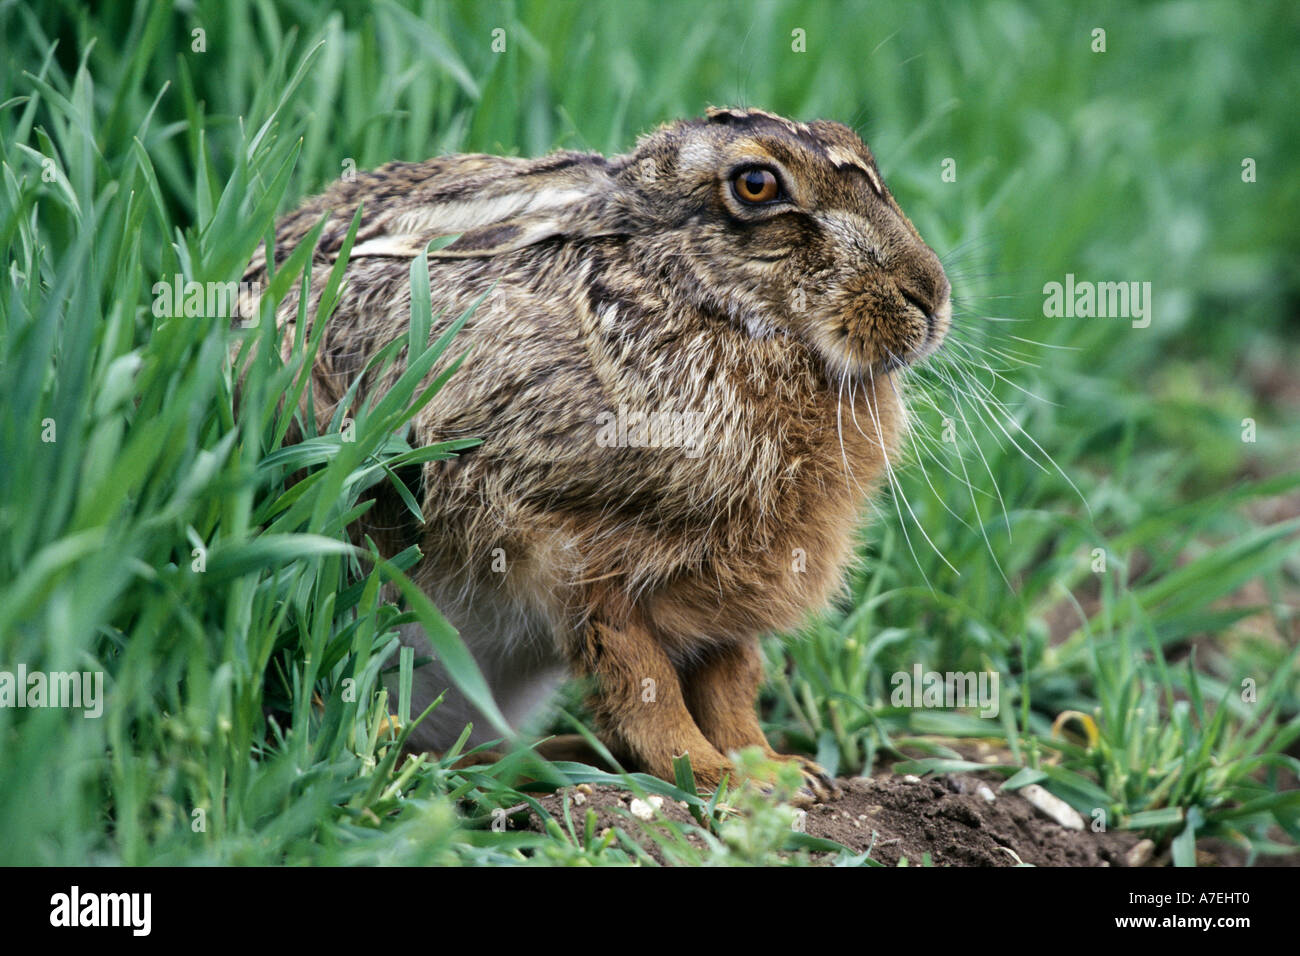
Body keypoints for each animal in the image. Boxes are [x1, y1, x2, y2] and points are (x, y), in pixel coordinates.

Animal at [243, 107, 951, 802]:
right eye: (757, 185)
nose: (929, 296)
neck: (692, 297)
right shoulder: (570, 553)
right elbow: (643, 680)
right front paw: (710, 777)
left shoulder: (730, 595)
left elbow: (731, 683)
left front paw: (777, 773)